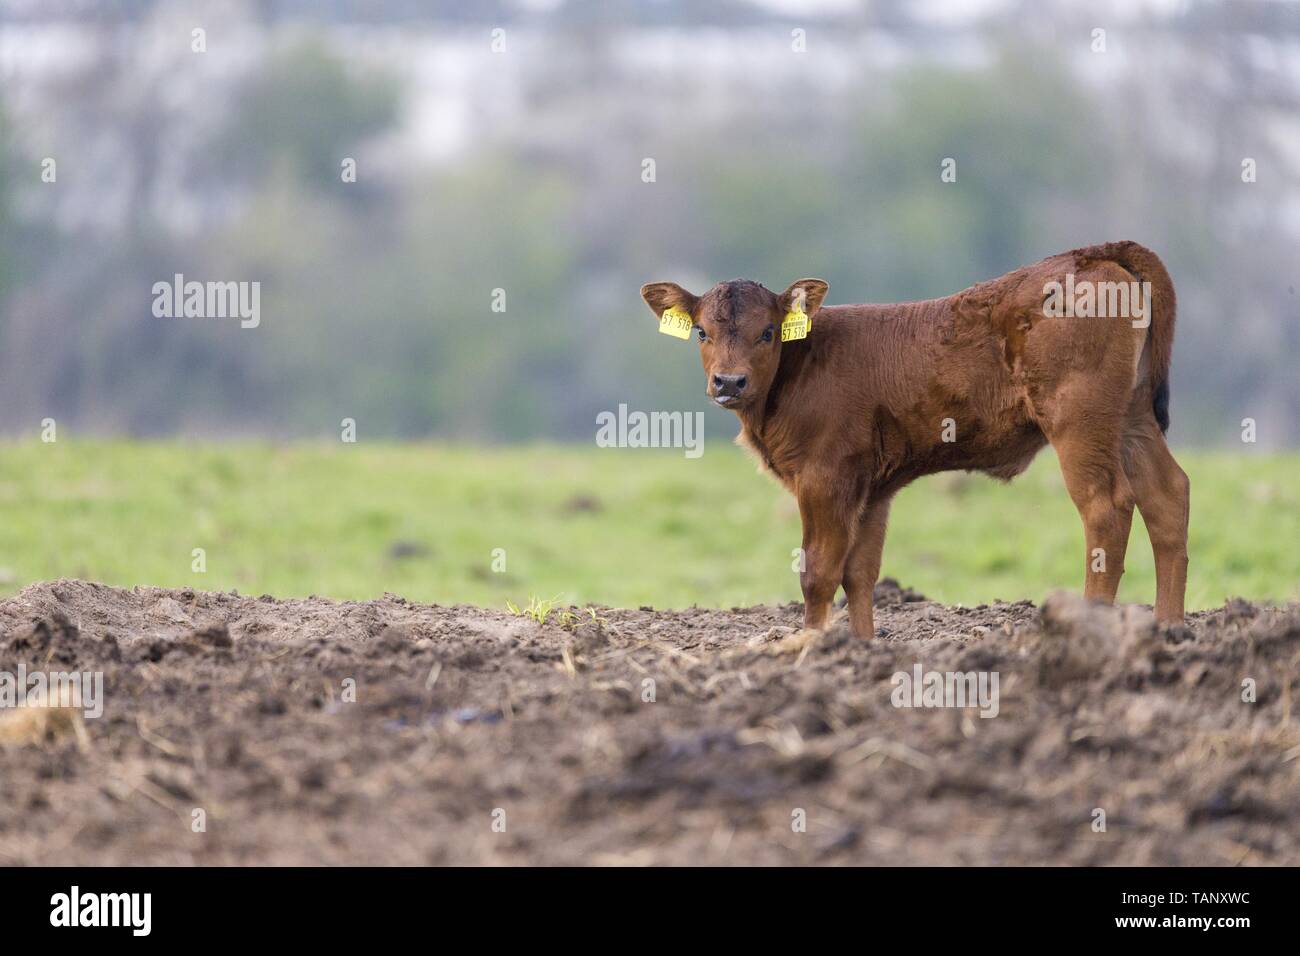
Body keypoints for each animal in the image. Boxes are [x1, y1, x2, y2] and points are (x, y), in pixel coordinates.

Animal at [640, 241, 1189, 639]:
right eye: (702, 332)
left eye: (769, 332)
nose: (729, 382)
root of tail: (1094, 252)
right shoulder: (873, 488)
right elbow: (860, 573)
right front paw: (860, 646)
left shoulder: (824, 477)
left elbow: (819, 572)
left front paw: (812, 645)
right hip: (1132, 419)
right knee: (1168, 495)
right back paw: (1169, 629)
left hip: (1079, 421)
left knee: (1106, 507)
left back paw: (1091, 620)